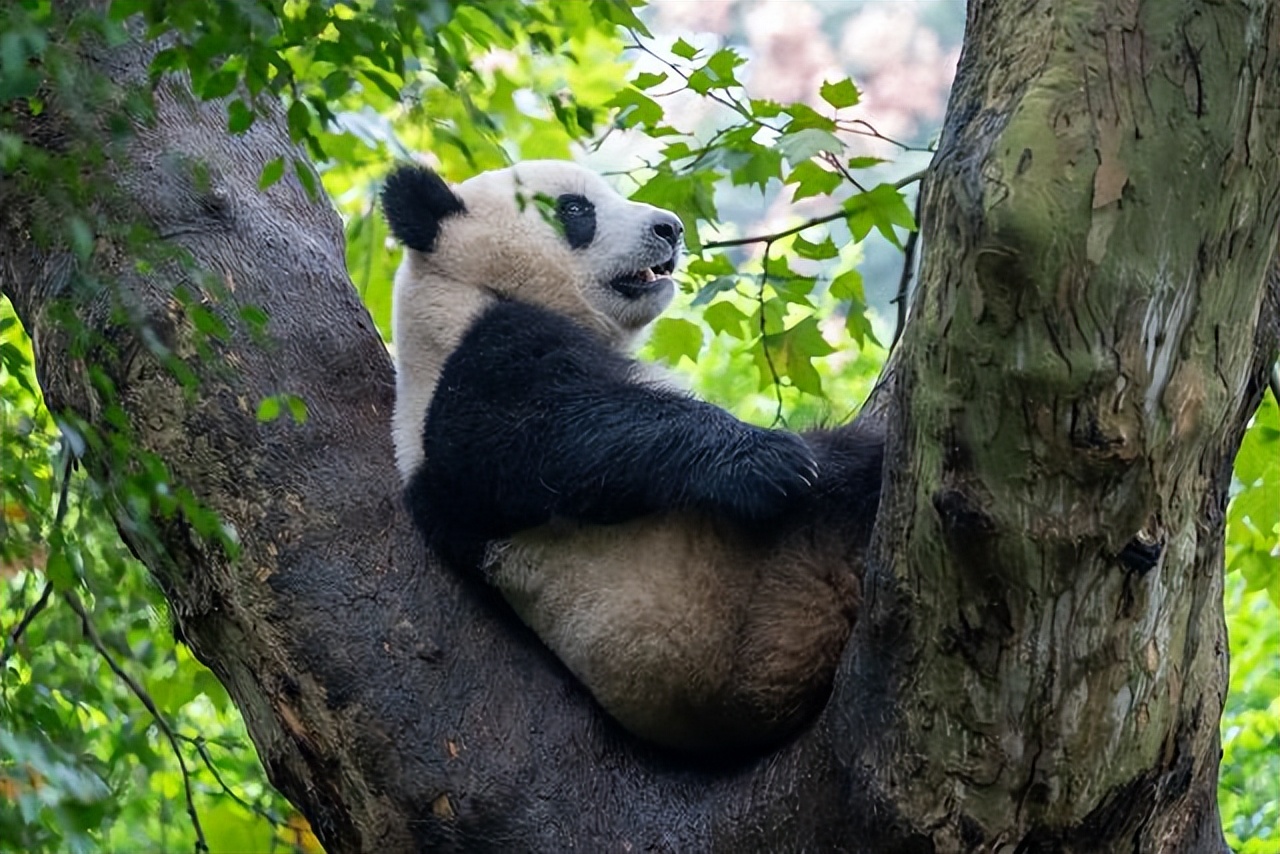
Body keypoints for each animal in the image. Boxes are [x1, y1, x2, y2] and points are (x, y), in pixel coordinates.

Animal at [383, 159, 884, 752]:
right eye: (576, 208)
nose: (671, 227)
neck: (459, 290)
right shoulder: (477, 362)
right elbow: (549, 434)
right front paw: (770, 458)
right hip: (762, 607)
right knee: (849, 474)